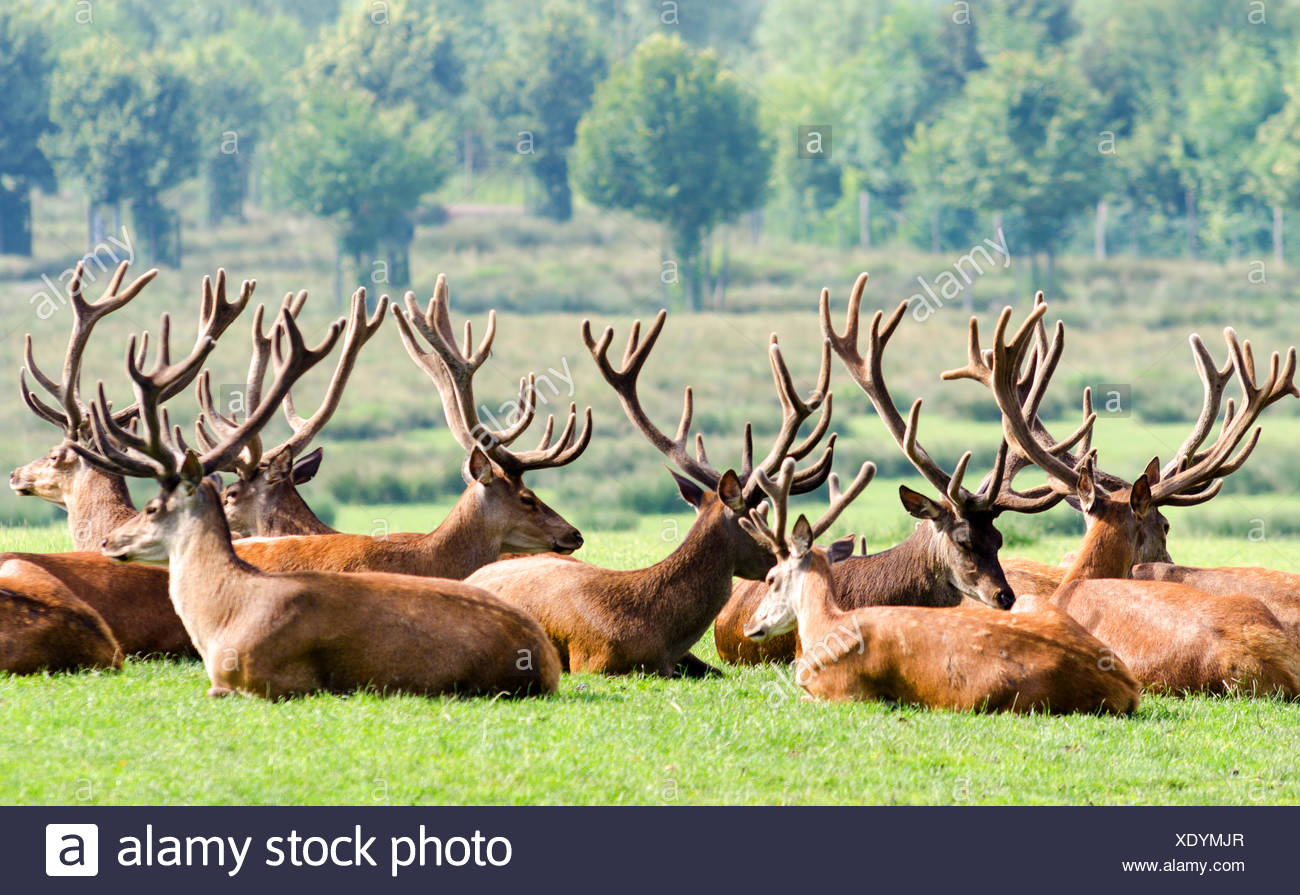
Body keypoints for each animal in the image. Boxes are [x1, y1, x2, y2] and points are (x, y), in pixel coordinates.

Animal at [739, 458, 1141, 713]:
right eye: (969, 541)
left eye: (772, 577)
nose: (751, 624)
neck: (826, 626)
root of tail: (1129, 688)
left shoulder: (843, 693)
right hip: (1035, 604)